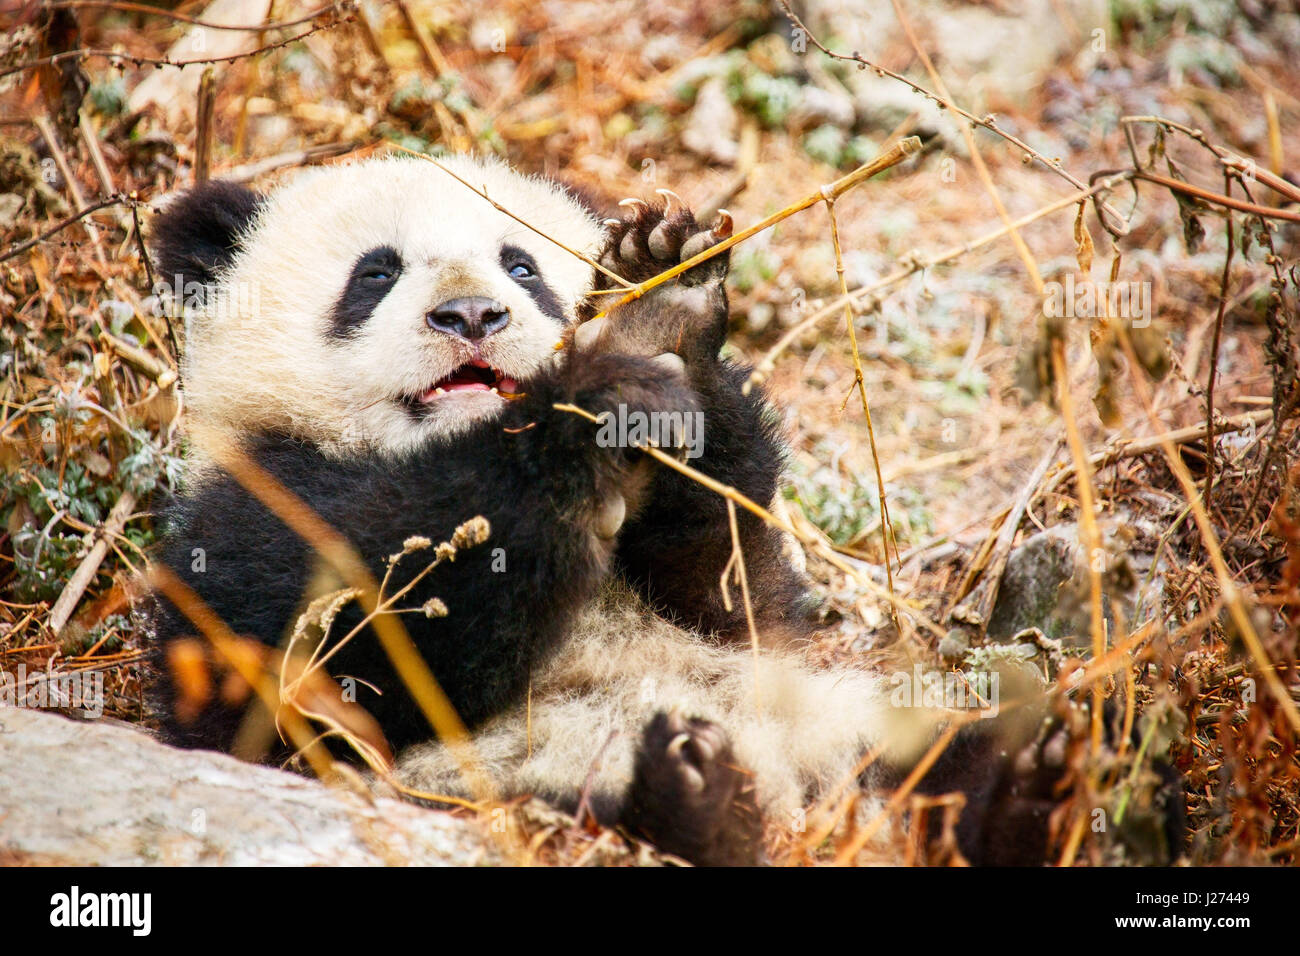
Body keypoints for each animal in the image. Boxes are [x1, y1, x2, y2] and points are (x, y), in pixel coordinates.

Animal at [146, 154, 1122, 866]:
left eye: (523, 265)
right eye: (375, 273)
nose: (473, 315)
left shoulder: (734, 616)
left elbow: (730, 589)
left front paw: (659, 307)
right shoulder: (251, 507)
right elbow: (344, 653)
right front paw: (591, 404)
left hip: (857, 730)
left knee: (949, 760)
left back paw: (1041, 784)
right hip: (503, 796)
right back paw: (700, 799)